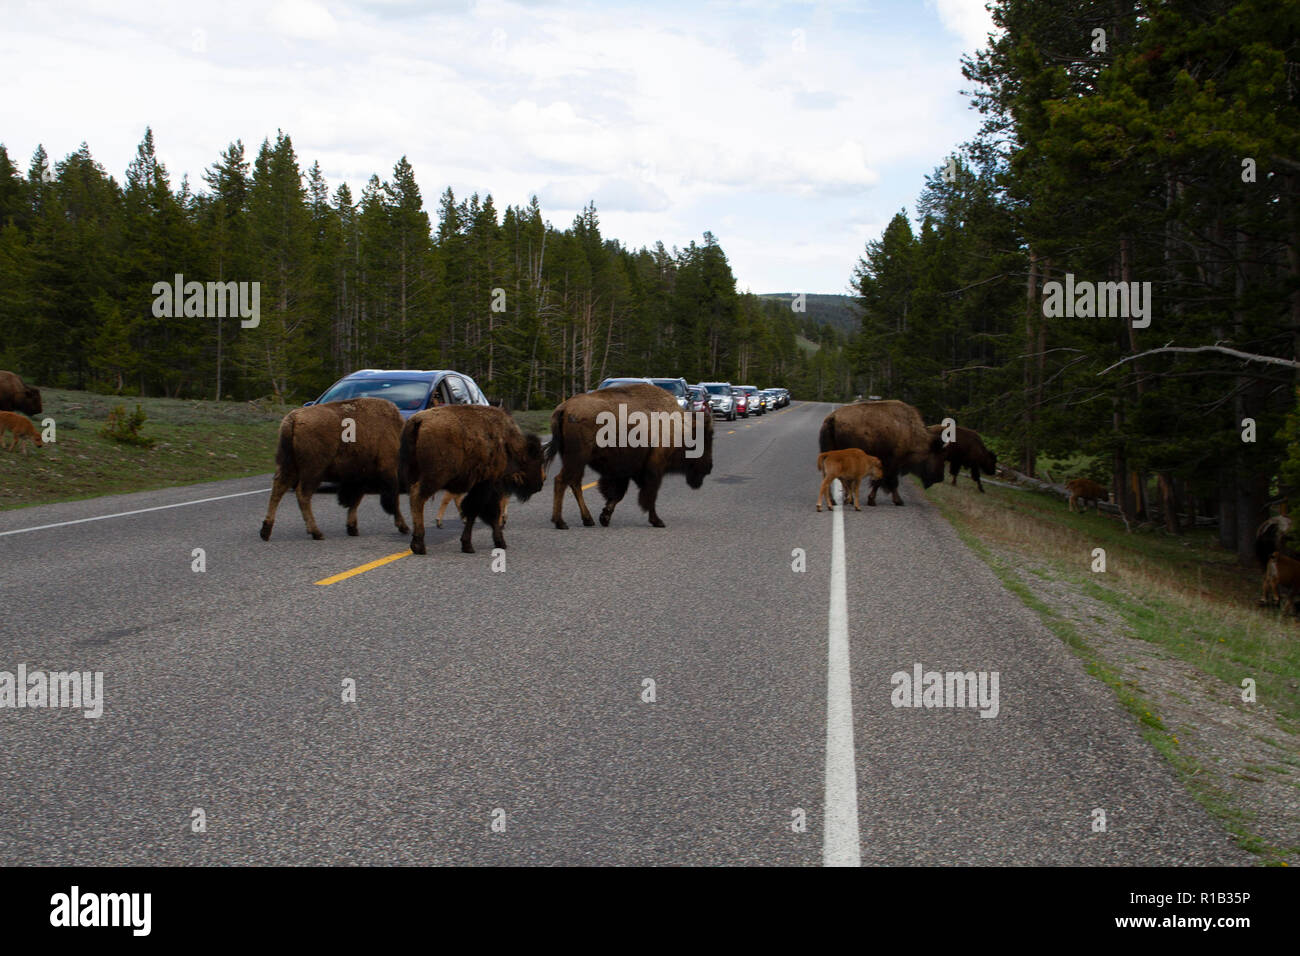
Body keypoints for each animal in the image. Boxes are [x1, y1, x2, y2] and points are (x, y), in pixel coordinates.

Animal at [260, 397, 409, 541]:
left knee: (278, 490)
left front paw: (352, 528)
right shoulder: (388, 471)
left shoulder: (360, 477)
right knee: (302, 494)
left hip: (288, 466)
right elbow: (393, 500)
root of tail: (293, 419)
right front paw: (403, 527)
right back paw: (316, 533)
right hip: (313, 471)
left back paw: (266, 531)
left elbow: (355, 500)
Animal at [400, 405, 546, 554]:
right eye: (538, 460)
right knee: (418, 497)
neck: (508, 444)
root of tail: (418, 420)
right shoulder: (487, 486)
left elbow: (478, 512)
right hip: (435, 478)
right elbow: (484, 512)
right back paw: (419, 545)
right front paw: (480, 544)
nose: (541, 482)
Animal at [547, 383, 713, 529]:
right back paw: (560, 522)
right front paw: (657, 521)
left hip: (575, 460)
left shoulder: (626, 471)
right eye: (703, 442)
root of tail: (564, 408)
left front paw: (605, 517)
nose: (709, 468)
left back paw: (588, 520)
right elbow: (649, 494)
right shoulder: (652, 468)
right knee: (562, 481)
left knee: (574, 483)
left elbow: (618, 494)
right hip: (576, 458)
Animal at [817, 400, 946, 506]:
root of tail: (832, 418)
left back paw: (835, 501)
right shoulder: (892, 463)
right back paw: (846, 500)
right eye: (938, 453)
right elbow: (887, 481)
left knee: (831, 477)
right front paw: (891, 501)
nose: (940, 477)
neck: (911, 432)